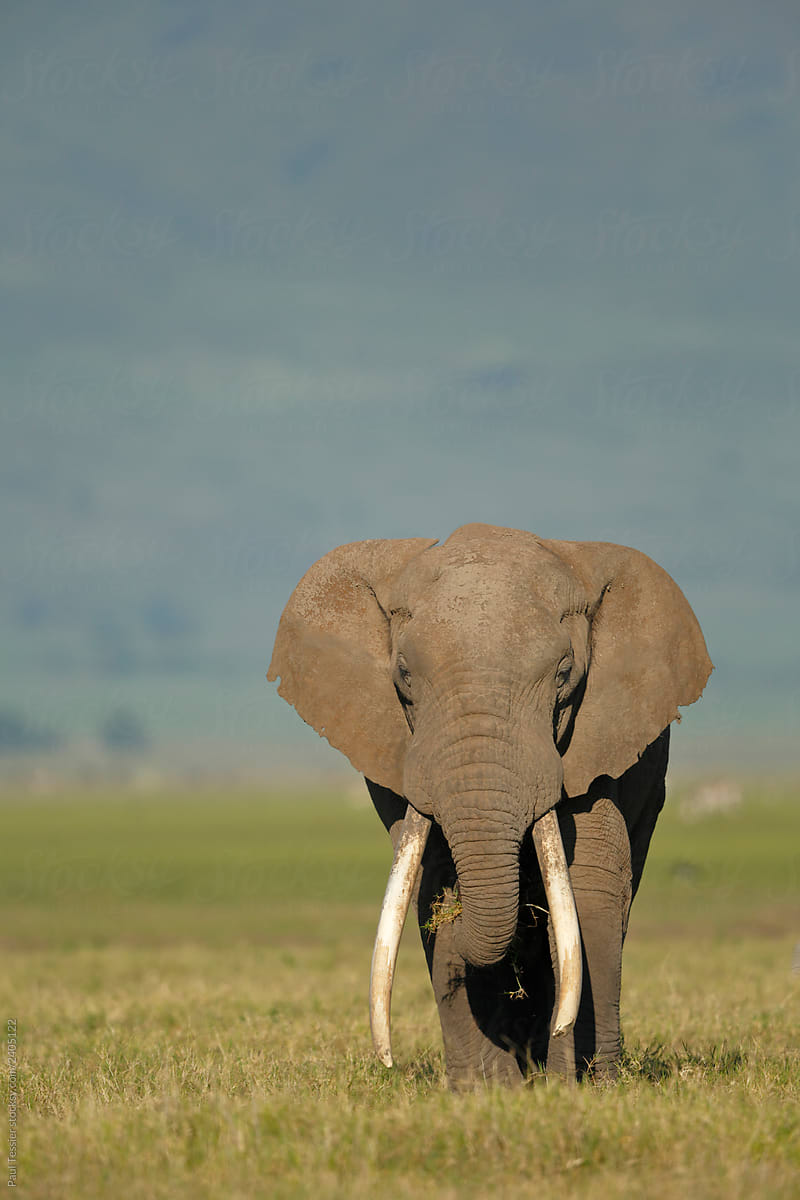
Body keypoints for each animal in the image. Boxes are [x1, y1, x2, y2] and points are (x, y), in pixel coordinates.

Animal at [268, 524, 711, 1089]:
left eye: (565, 674)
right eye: (403, 674)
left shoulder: (594, 739)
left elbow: (589, 887)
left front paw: (582, 1088)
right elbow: (435, 883)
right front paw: (487, 1093)